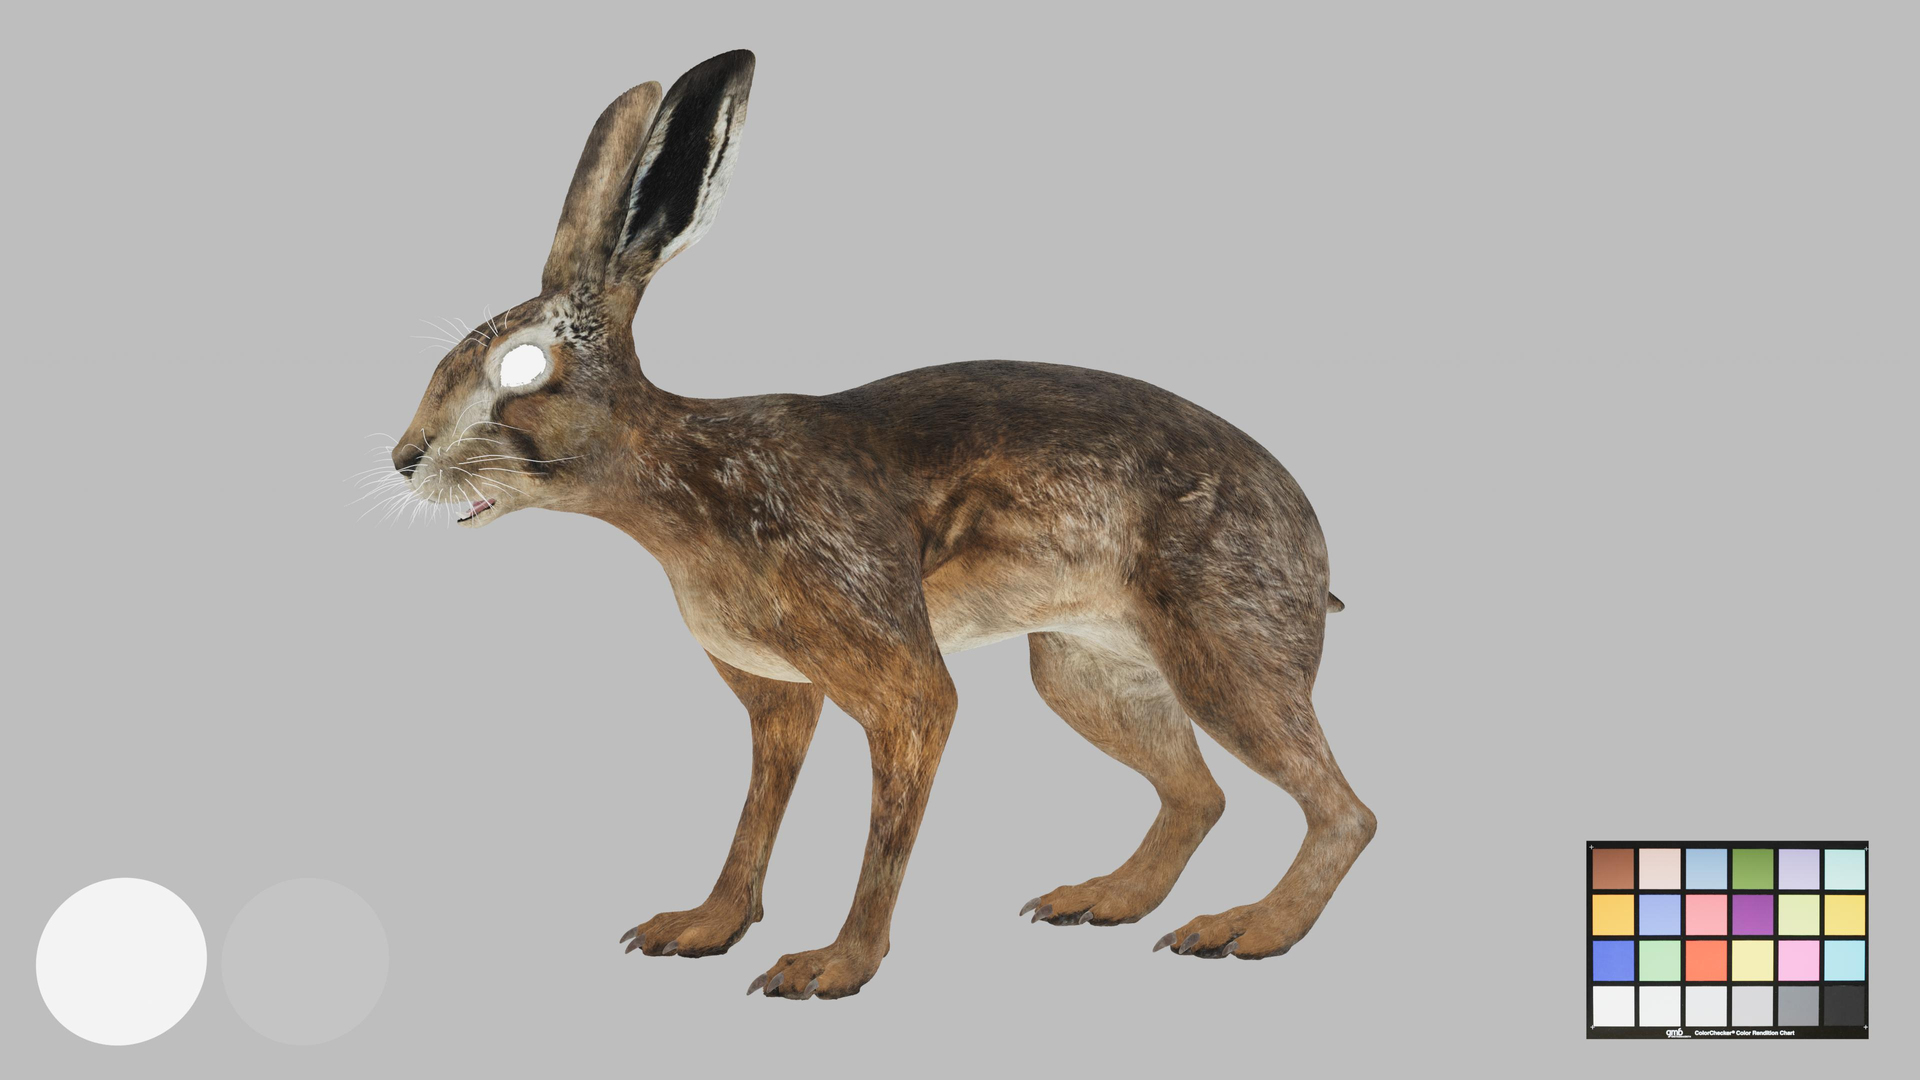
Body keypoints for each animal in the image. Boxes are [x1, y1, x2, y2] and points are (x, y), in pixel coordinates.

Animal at [391, 49, 1374, 1000]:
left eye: (523, 368)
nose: (405, 458)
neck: (681, 471)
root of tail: (1311, 543)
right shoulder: (779, 690)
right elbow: (759, 808)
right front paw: (701, 928)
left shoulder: (896, 678)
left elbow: (889, 822)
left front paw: (831, 968)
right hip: (1083, 671)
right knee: (1200, 796)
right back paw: (1104, 900)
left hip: (1223, 652)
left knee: (1345, 813)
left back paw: (1249, 930)